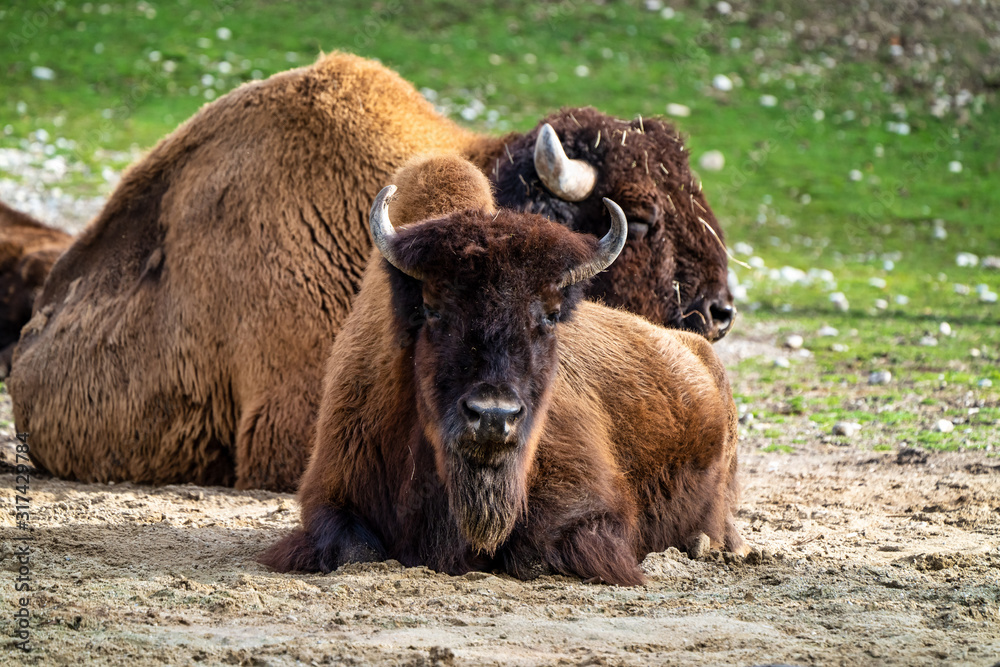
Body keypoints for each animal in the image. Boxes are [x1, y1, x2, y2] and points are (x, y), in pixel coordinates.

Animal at [261, 155, 746, 585]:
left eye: (550, 315)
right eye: (432, 309)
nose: (494, 416)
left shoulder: (590, 503)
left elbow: (538, 550)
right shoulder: (332, 489)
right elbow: (355, 549)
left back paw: (706, 544)